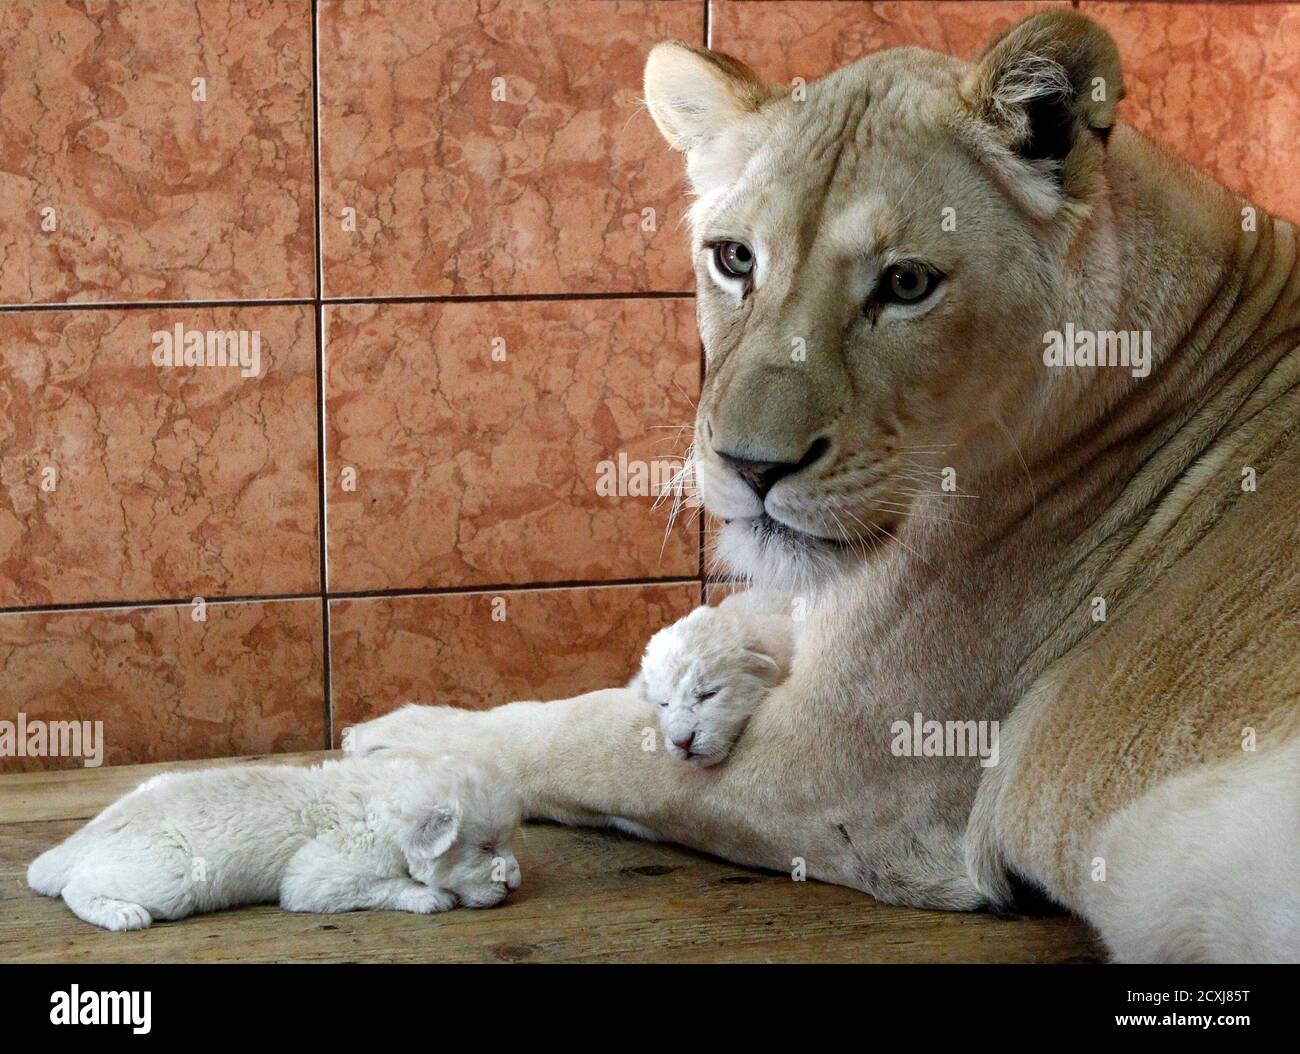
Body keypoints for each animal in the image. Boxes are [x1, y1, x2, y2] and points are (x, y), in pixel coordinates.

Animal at [346, 11, 1300, 962]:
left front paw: (404, 741)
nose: (751, 466)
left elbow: (590, 738)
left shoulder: (852, 770)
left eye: (907, 283)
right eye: (734, 259)